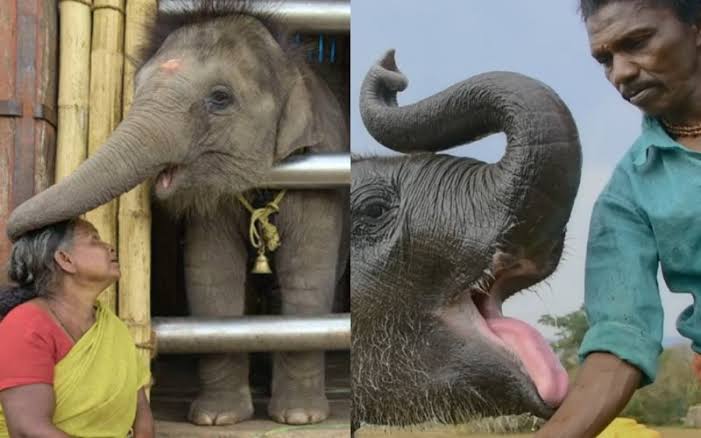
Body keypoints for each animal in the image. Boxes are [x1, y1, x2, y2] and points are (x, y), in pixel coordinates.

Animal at [7, 0, 348, 427]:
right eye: (135, 89)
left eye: (220, 98)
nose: (17, 241)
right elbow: (212, 275)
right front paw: (217, 419)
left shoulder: (319, 178)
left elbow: (308, 275)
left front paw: (300, 418)